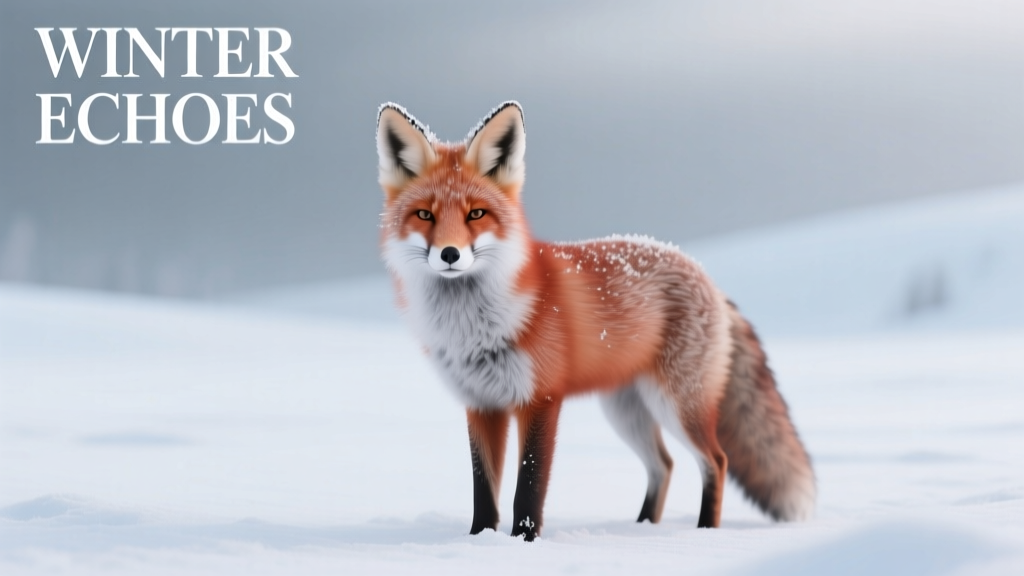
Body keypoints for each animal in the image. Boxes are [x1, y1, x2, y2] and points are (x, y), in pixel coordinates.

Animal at [375, 101, 815, 541]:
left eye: (476, 214)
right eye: (425, 215)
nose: (449, 254)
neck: (474, 328)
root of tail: (706, 276)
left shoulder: (541, 399)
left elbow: (528, 488)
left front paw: (523, 543)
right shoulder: (482, 404)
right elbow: (484, 490)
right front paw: (478, 540)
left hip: (677, 404)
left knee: (715, 461)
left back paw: (704, 531)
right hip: (626, 413)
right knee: (664, 464)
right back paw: (642, 527)